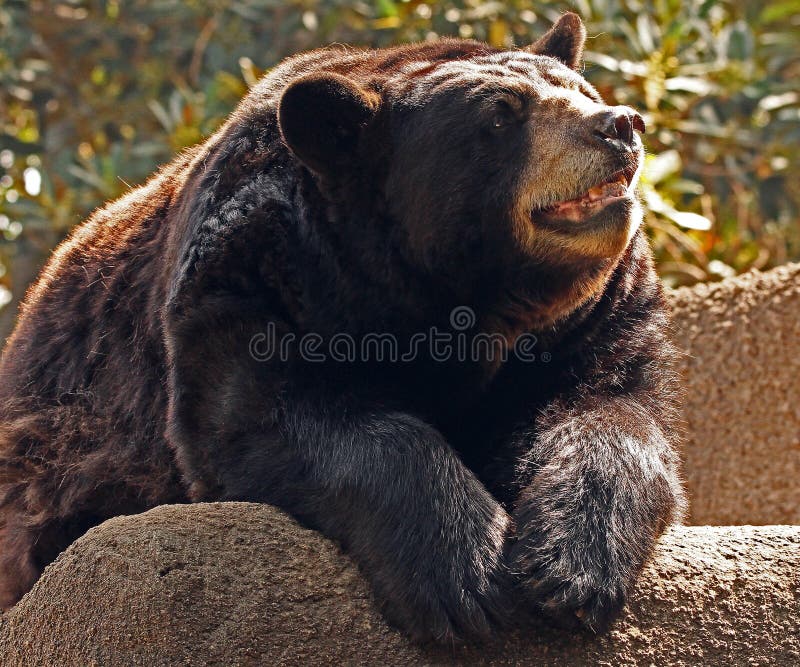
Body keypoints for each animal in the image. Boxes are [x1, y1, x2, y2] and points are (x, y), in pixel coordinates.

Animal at [0, 13, 685, 642]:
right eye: (499, 116)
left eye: (582, 91)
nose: (618, 124)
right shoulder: (253, 278)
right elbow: (274, 416)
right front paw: (465, 572)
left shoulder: (593, 318)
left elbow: (611, 405)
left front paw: (570, 567)